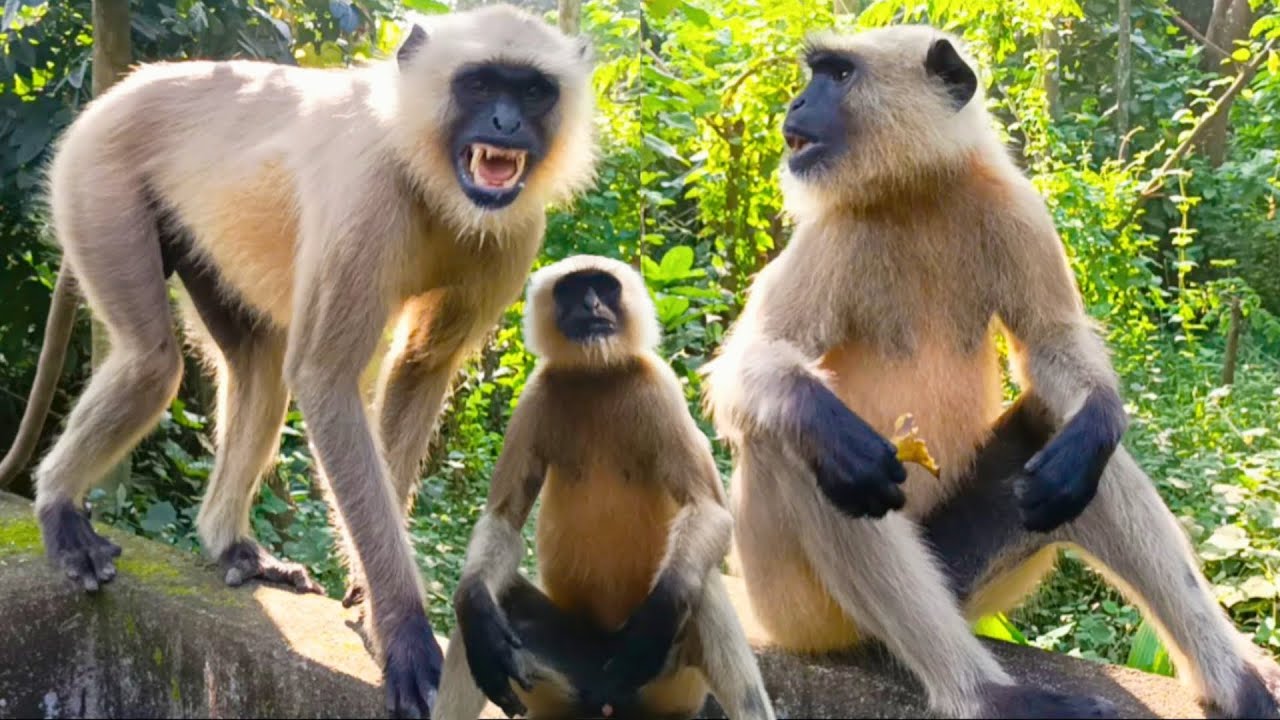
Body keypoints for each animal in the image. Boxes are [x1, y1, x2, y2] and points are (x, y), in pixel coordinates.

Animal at [0, 5, 597, 716]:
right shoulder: (368, 191)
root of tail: (121, 90)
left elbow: (421, 365)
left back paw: (229, 544)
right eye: (479, 85)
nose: (505, 124)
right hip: (96, 177)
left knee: (258, 368)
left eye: (532, 92)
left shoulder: (515, 230)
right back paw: (60, 509)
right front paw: (403, 631)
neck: (427, 171)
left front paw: (367, 599)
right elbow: (325, 376)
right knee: (153, 362)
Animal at [433, 255, 775, 720]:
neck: (597, 375)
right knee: (487, 607)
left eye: (603, 287)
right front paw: (477, 612)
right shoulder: (536, 394)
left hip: (668, 688)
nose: (592, 305)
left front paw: (658, 617)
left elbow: (710, 509)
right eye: (574, 290)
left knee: (699, 588)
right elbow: (503, 521)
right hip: (566, 687)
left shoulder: (658, 385)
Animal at [701, 24, 1280, 720]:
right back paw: (989, 695)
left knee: (1059, 435)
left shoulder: (1018, 209)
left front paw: (1095, 426)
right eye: (820, 75)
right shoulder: (831, 232)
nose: (795, 104)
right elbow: (748, 366)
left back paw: (1239, 684)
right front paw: (837, 438)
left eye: (838, 76)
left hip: (963, 574)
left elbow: (1054, 347)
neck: (919, 192)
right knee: (798, 448)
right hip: (796, 610)